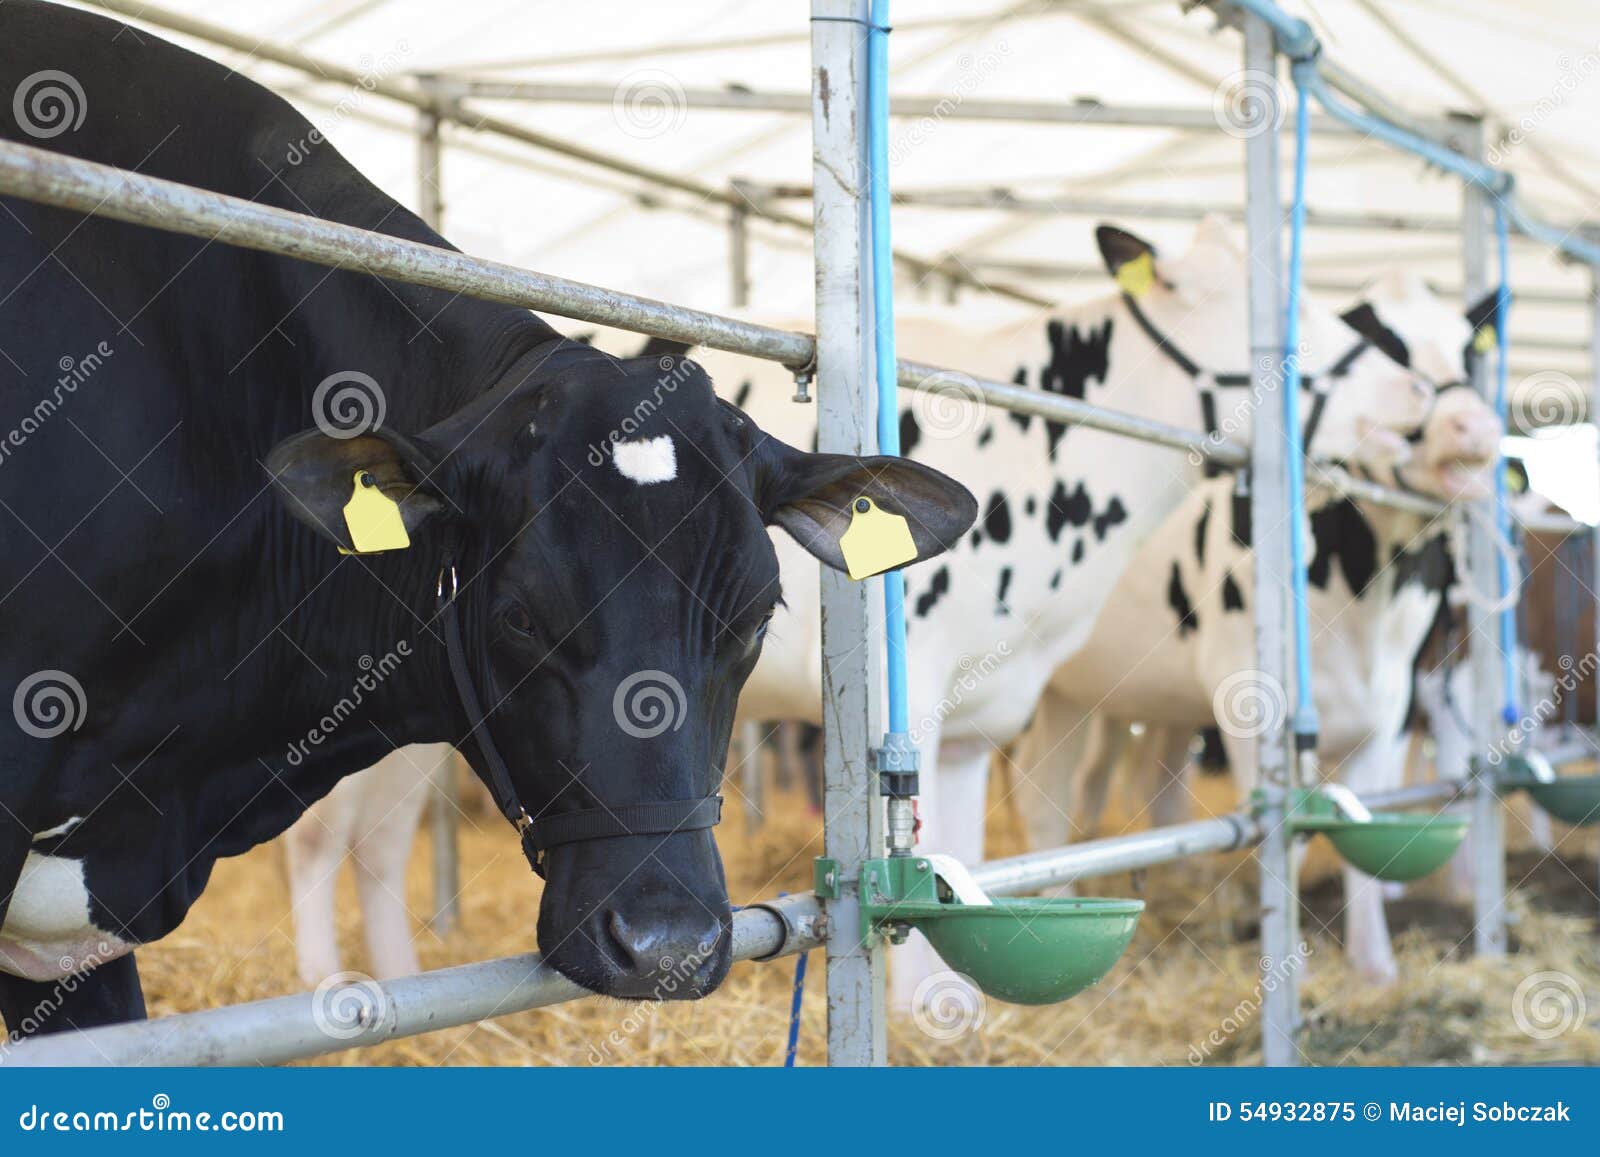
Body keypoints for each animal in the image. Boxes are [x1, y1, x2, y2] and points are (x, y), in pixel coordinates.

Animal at [1011, 272, 1503, 983]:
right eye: (1385, 344)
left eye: (1469, 349)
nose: (1477, 425)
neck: (1368, 594)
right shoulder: (1245, 697)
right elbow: (1285, 846)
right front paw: (1289, 967)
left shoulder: (1392, 702)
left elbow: (1369, 831)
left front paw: (1376, 967)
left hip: (1087, 692)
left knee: (1072, 783)